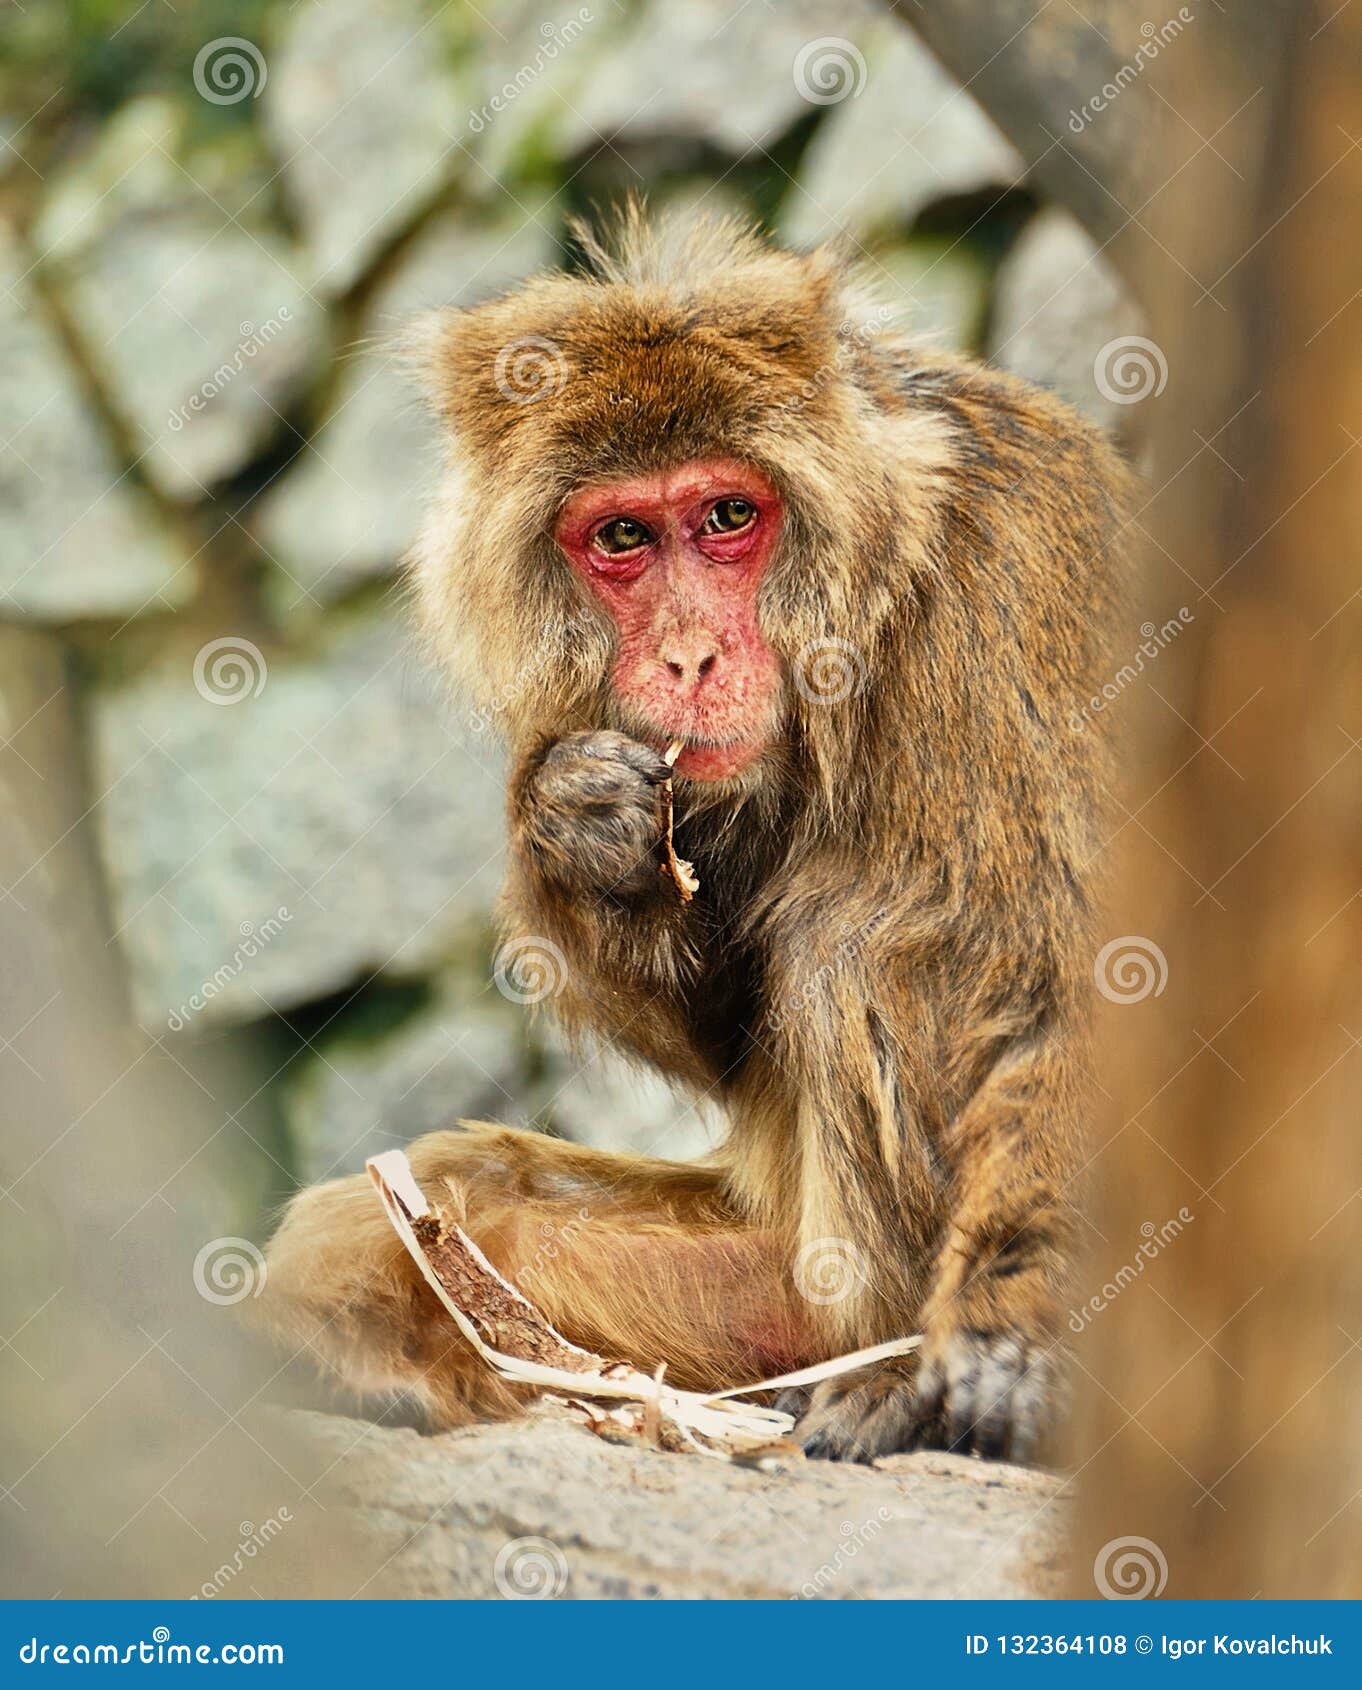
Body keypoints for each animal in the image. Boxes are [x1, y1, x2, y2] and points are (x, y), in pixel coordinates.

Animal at [259, 208, 1134, 1464]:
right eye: (623, 534)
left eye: (727, 516)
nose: (686, 657)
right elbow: (725, 1031)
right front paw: (582, 833)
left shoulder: (1028, 570)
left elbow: (1089, 973)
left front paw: (1016, 1333)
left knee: (862, 933)